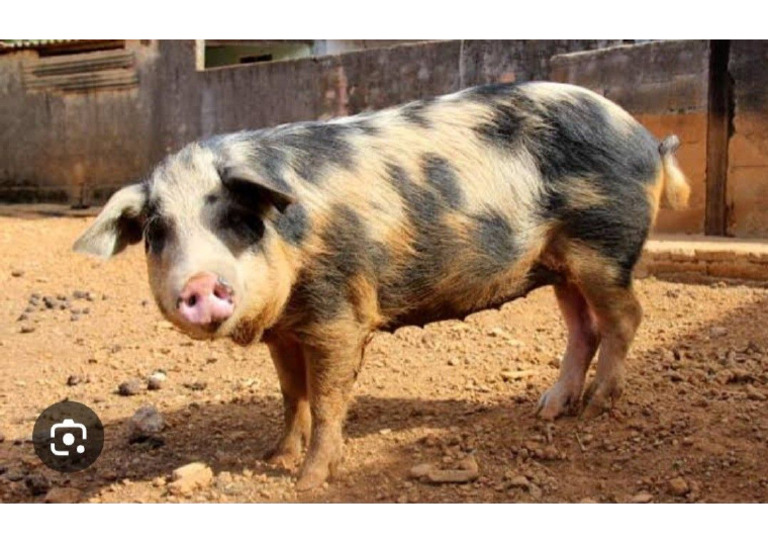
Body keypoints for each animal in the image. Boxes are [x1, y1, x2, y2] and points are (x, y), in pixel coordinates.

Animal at [73, 81, 690, 490]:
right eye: (157, 231)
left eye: (232, 216)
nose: (201, 283)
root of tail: (646, 138)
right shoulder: (285, 331)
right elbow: (292, 395)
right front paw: (273, 459)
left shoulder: (338, 312)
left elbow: (327, 399)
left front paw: (308, 483)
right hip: (564, 262)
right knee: (583, 328)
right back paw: (549, 411)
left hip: (604, 244)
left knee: (625, 317)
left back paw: (597, 409)